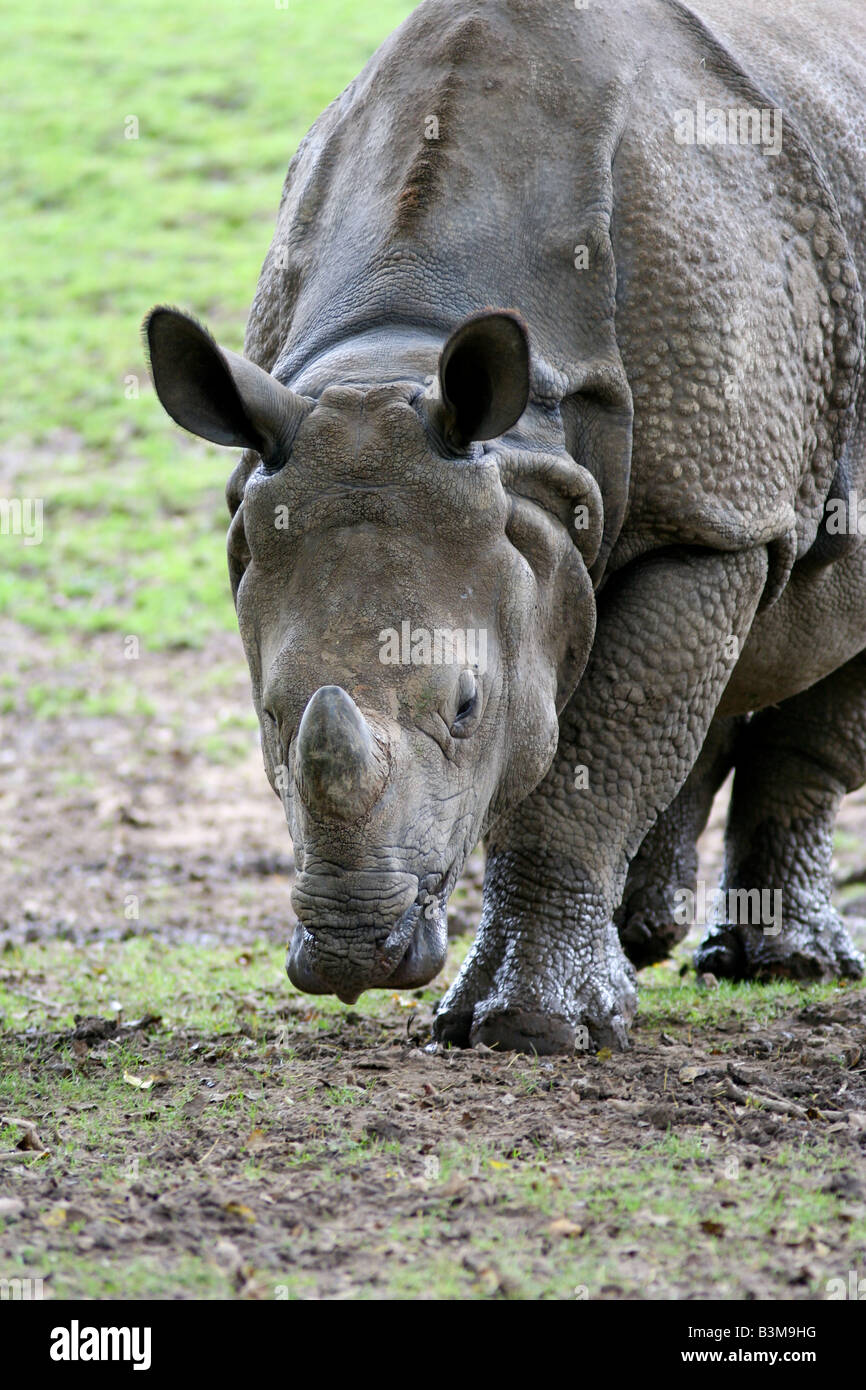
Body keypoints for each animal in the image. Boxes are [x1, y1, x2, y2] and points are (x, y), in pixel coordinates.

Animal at [145, 0, 866, 1053]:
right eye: (270, 715)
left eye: (467, 707)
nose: (353, 956)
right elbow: (629, 723)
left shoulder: (710, 517)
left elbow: (598, 756)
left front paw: (530, 1028)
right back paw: (646, 940)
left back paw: (781, 968)